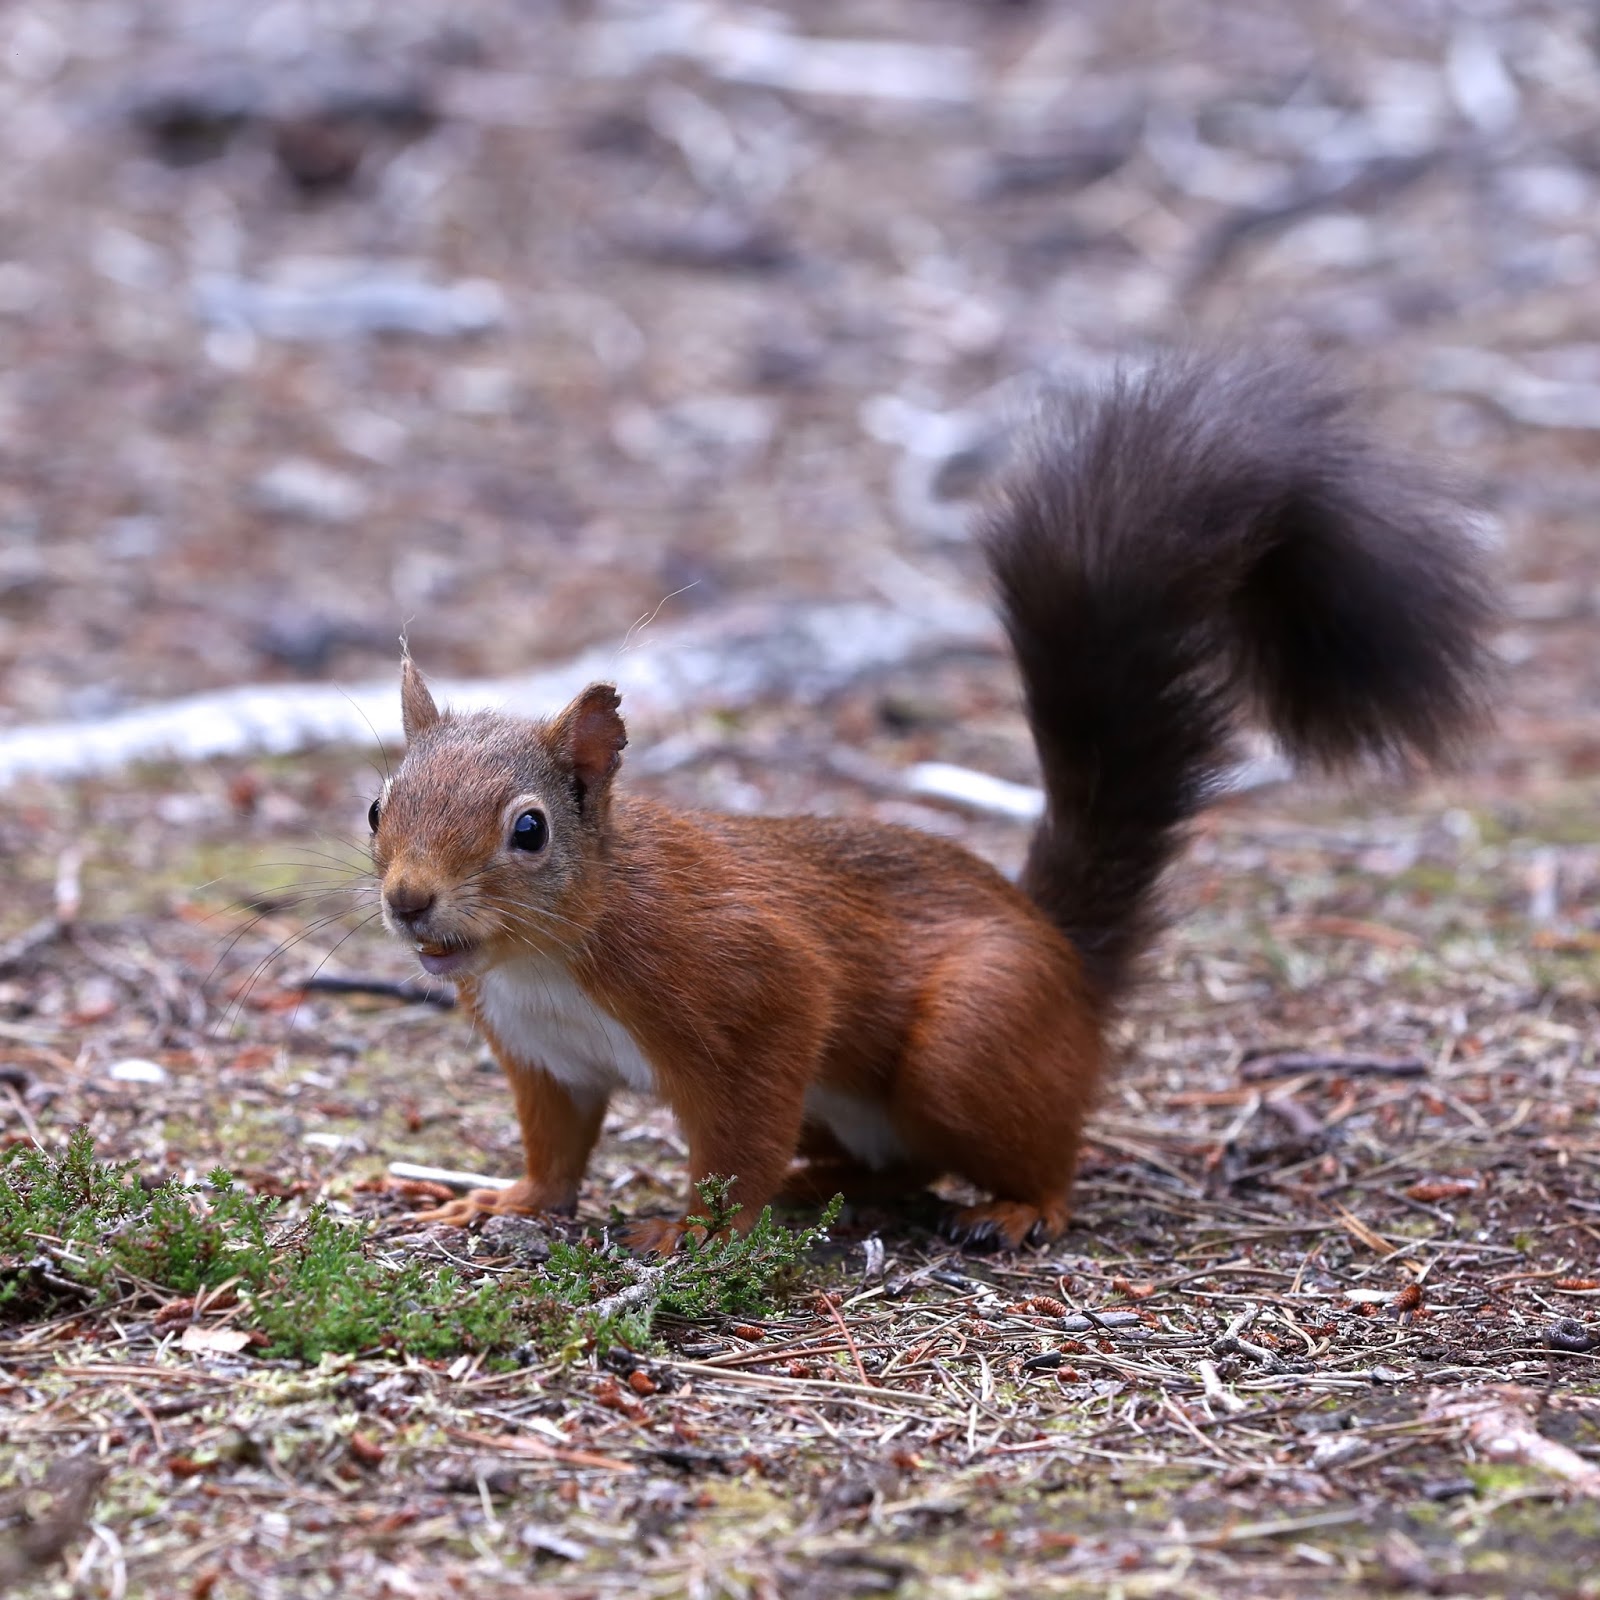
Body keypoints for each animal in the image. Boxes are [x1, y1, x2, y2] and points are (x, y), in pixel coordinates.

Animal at [370, 353, 1495, 1252]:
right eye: (378, 807)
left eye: (528, 829)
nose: (408, 901)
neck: (551, 953)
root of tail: (1067, 963)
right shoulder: (541, 1055)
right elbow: (556, 1148)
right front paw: (504, 1202)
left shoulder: (747, 984)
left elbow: (740, 1127)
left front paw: (696, 1231)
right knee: (897, 1165)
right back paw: (824, 1183)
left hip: (970, 1042)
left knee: (1028, 1152)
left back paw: (1016, 1207)